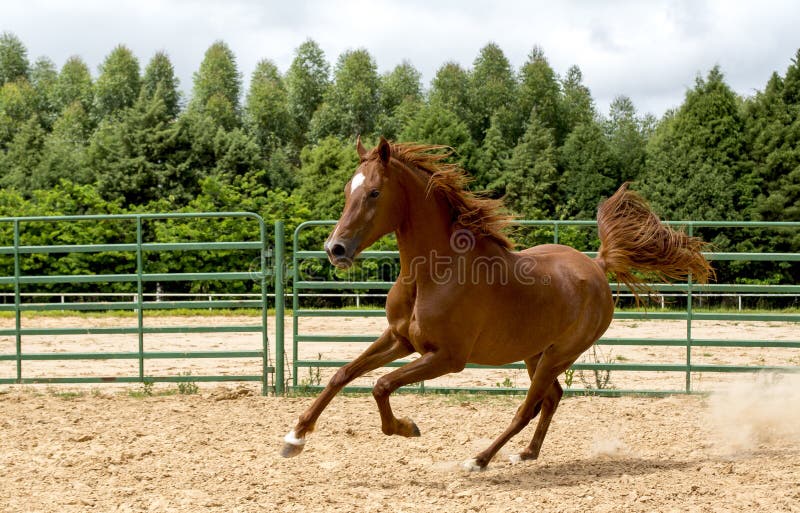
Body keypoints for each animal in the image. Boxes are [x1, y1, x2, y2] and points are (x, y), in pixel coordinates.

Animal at [281, 137, 712, 470]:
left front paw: (406, 428)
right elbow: (343, 375)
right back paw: (526, 454)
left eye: (373, 192)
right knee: (552, 398)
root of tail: (597, 265)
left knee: (528, 407)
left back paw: (480, 459)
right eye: (346, 191)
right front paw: (294, 438)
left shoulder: (447, 358)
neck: (435, 272)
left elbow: (381, 385)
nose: (335, 249)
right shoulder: (400, 339)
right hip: (535, 353)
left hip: (559, 354)